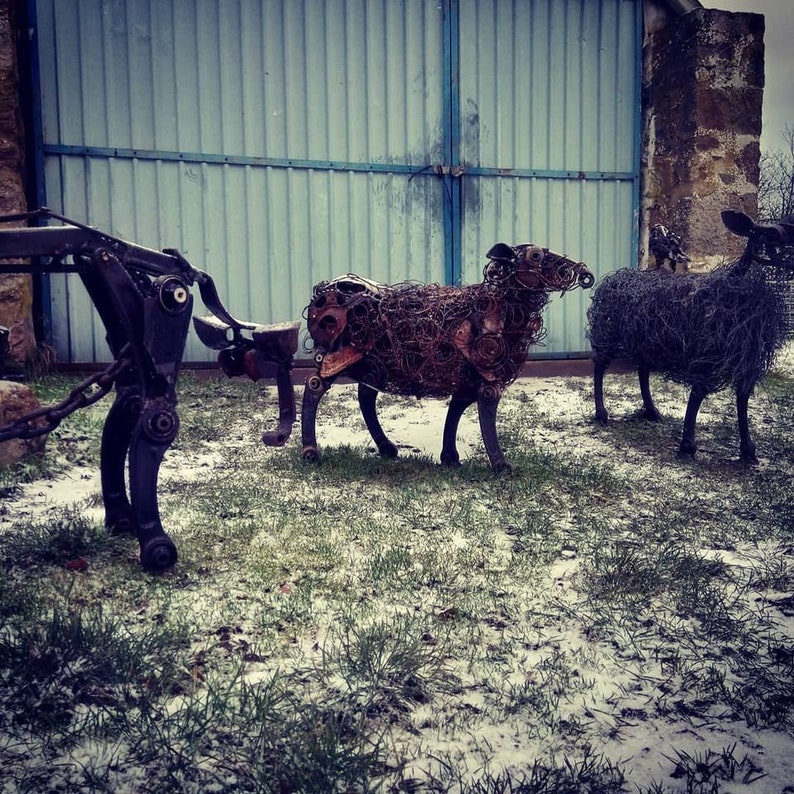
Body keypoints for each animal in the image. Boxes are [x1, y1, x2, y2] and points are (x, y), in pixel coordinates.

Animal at [300, 243, 594, 472]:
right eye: (535, 255)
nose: (583, 273)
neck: (500, 306)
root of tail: (323, 291)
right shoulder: (489, 382)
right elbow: (486, 418)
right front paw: (501, 466)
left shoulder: (467, 379)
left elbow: (456, 410)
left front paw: (451, 459)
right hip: (341, 356)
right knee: (315, 387)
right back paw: (311, 452)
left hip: (375, 365)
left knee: (365, 395)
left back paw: (387, 448)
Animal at [587, 210, 794, 463]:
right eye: (764, 234)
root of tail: (615, 277)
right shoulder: (705, 356)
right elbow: (697, 394)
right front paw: (688, 446)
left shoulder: (748, 361)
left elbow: (742, 399)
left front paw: (748, 451)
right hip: (606, 331)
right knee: (600, 365)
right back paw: (601, 413)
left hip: (648, 339)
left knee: (643, 369)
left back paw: (651, 411)